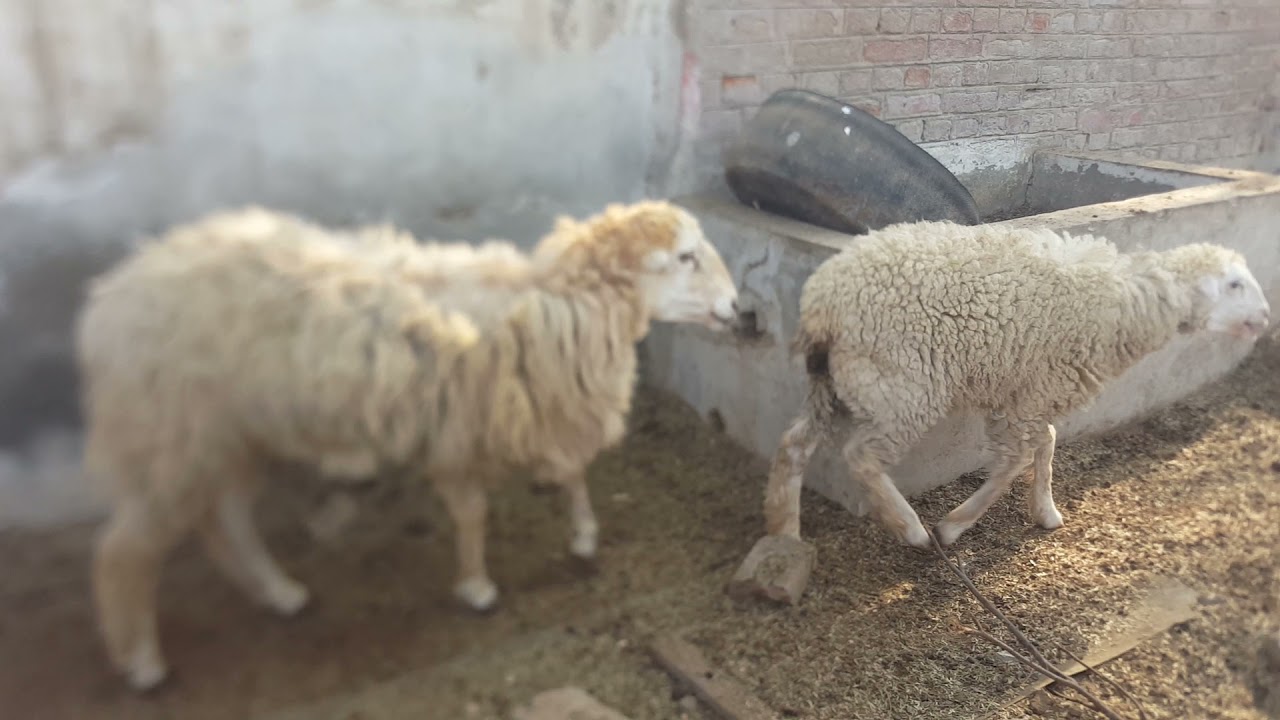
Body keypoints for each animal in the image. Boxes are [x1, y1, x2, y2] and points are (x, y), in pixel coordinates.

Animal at [75, 200, 740, 691]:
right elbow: (473, 514)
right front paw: (477, 589)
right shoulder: (458, 433)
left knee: (225, 520)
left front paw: (583, 537)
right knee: (122, 551)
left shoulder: (530, 413)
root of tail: (112, 299)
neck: (559, 304)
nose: (738, 307)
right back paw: (143, 663)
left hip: (225, 435)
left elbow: (573, 473)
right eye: (684, 256)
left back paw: (280, 594)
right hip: (171, 434)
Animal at [761, 220, 1271, 551]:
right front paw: (954, 525)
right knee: (860, 457)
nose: (1266, 317)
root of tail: (824, 302)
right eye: (1233, 284)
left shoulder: (1028, 392)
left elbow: (1046, 444)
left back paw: (784, 535)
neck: (1123, 305)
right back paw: (911, 529)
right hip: (901, 385)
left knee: (793, 444)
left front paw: (1044, 510)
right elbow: (1015, 461)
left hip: (839, 384)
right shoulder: (1027, 397)